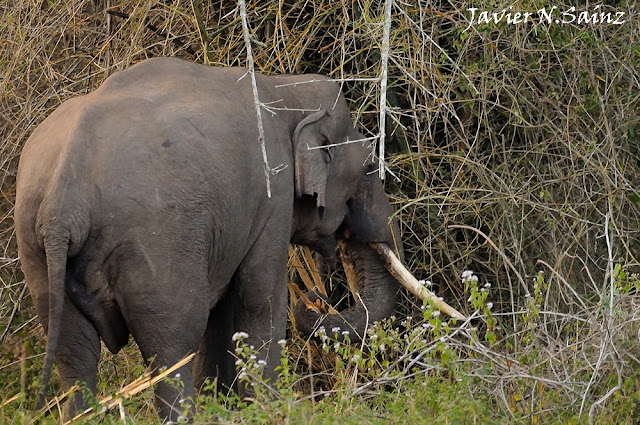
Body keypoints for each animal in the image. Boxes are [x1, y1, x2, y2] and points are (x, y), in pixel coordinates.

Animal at [14, 57, 402, 422]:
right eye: (370, 168)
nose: (312, 297)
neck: (285, 89)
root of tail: (63, 200)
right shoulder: (272, 191)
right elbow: (260, 299)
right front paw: (269, 410)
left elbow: (222, 315)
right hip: (157, 246)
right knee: (170, 345)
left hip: (38, 252)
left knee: (74, 353)